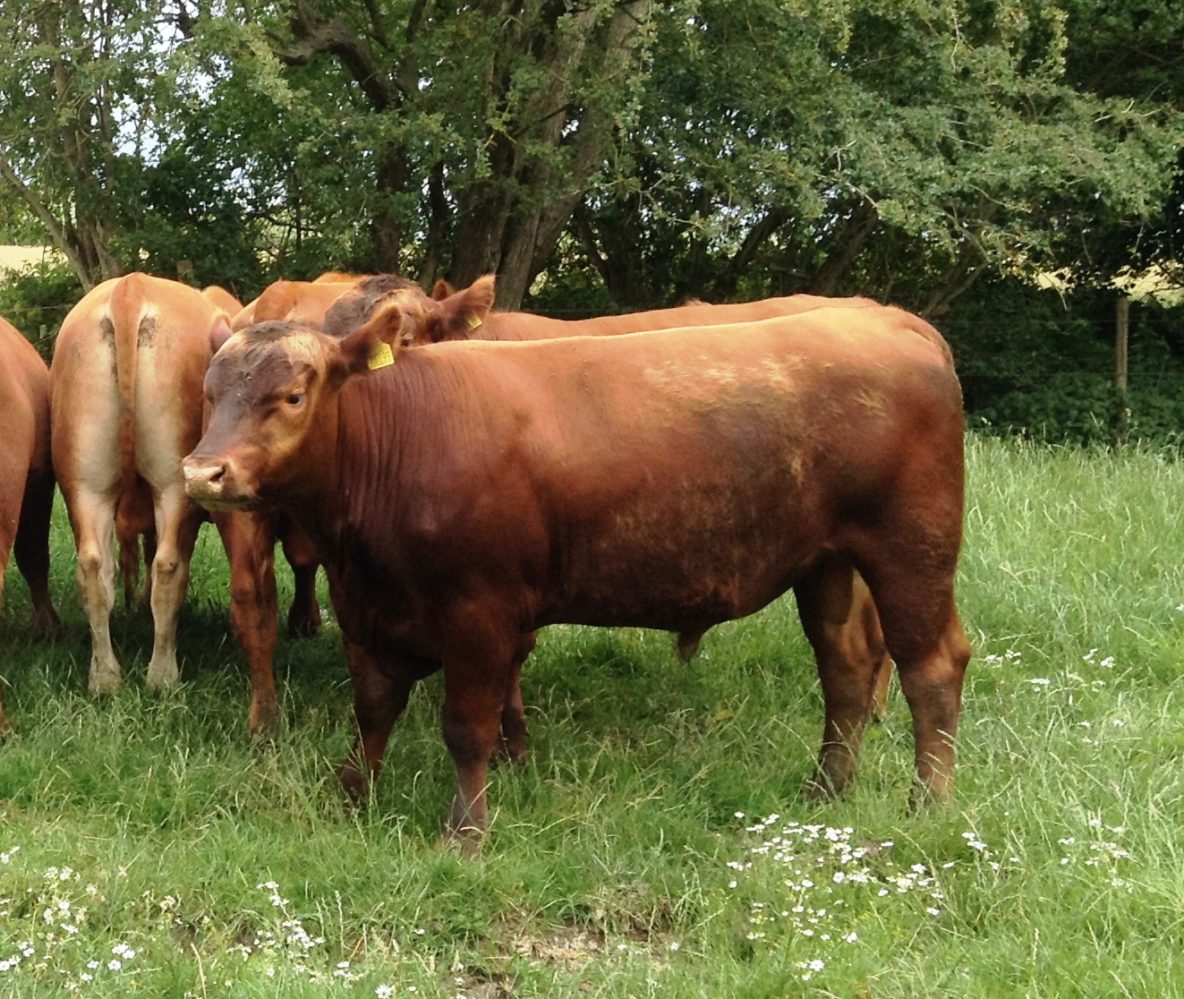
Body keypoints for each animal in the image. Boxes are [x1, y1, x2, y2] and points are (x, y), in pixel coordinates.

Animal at [50, 273, 282, 733]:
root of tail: (129, 289)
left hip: (85, 484)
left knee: (94, 569)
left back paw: (105, 677)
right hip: (176, 484)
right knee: (168, 568)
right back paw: (162, 676)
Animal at [183, 302, 972, 844]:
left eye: (292, 395)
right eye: (211, 392)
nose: (202, 472)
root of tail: (889, 318)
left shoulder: (480, 614)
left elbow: (466, 726)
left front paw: (465, 833)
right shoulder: (367, 609)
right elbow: (373, 707)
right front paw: (351, 797)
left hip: (911, 550)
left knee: (931, 667)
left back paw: (928, 806)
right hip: (828, 563)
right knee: (846, 668)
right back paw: (826, 790)